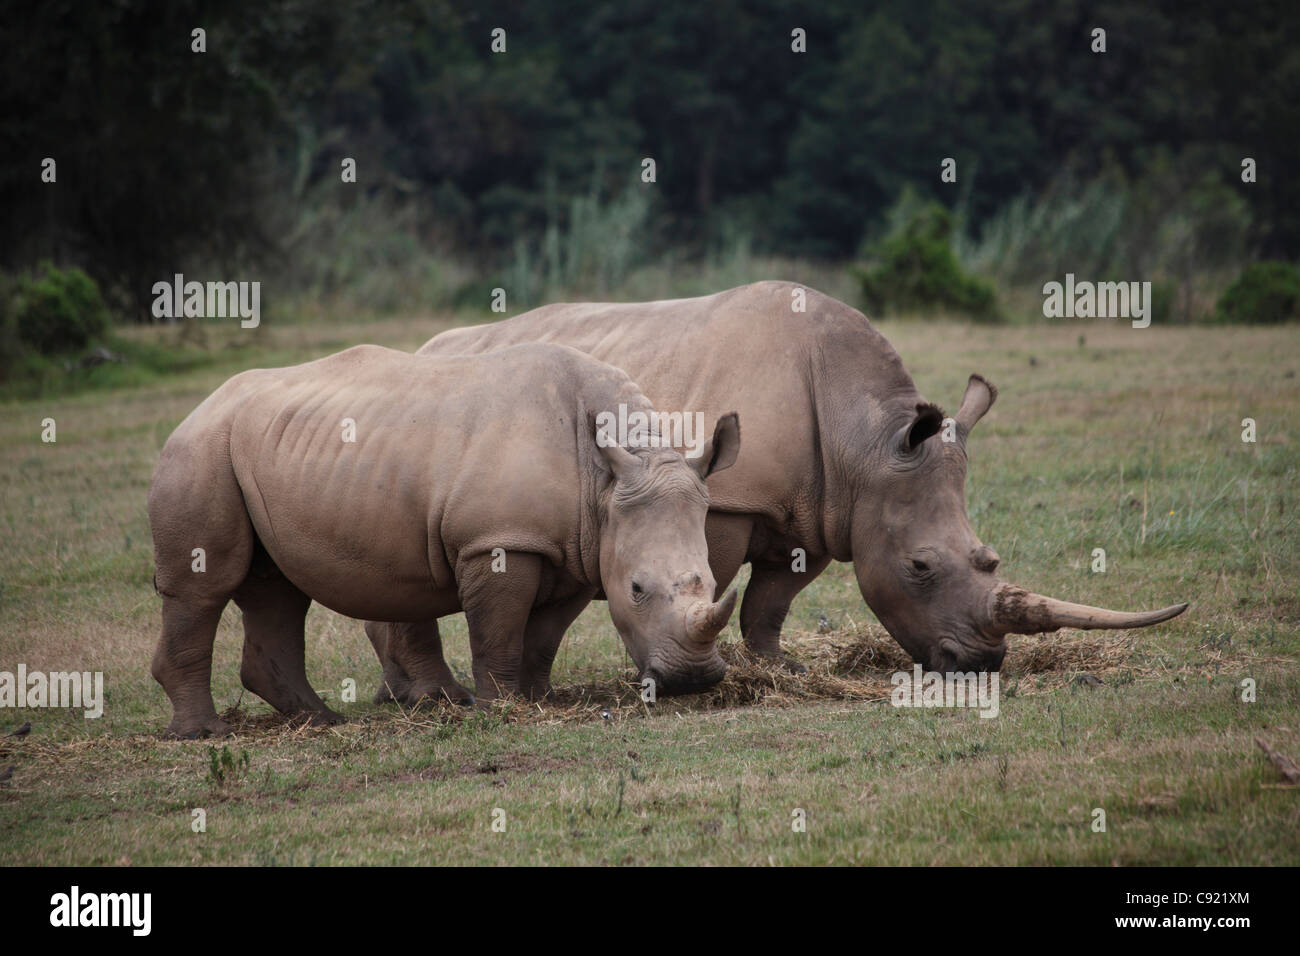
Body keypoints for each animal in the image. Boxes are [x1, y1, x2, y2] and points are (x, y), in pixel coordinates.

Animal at [148, 342, 740, 737]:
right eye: (637, 589)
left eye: (713, 583)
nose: (693, 679)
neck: (608, 479)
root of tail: (197, 409)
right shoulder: (498, 539)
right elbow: (498, 630)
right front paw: (500, 707)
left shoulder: (579, 546)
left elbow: (544, 635)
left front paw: (539, 698)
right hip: (199, 450)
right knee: (205, 585)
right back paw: (204, 734)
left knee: (278, 592)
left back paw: (320, 719)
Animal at [365, 281, 1185, 697]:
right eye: (920, 567)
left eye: (989, 559)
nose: (979, 665)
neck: (866, 443)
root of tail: (430, 347)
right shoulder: (734, 497)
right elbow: (718, 578)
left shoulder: (827, 509)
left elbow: (774, 596)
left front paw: (777, 668)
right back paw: (418, 698)